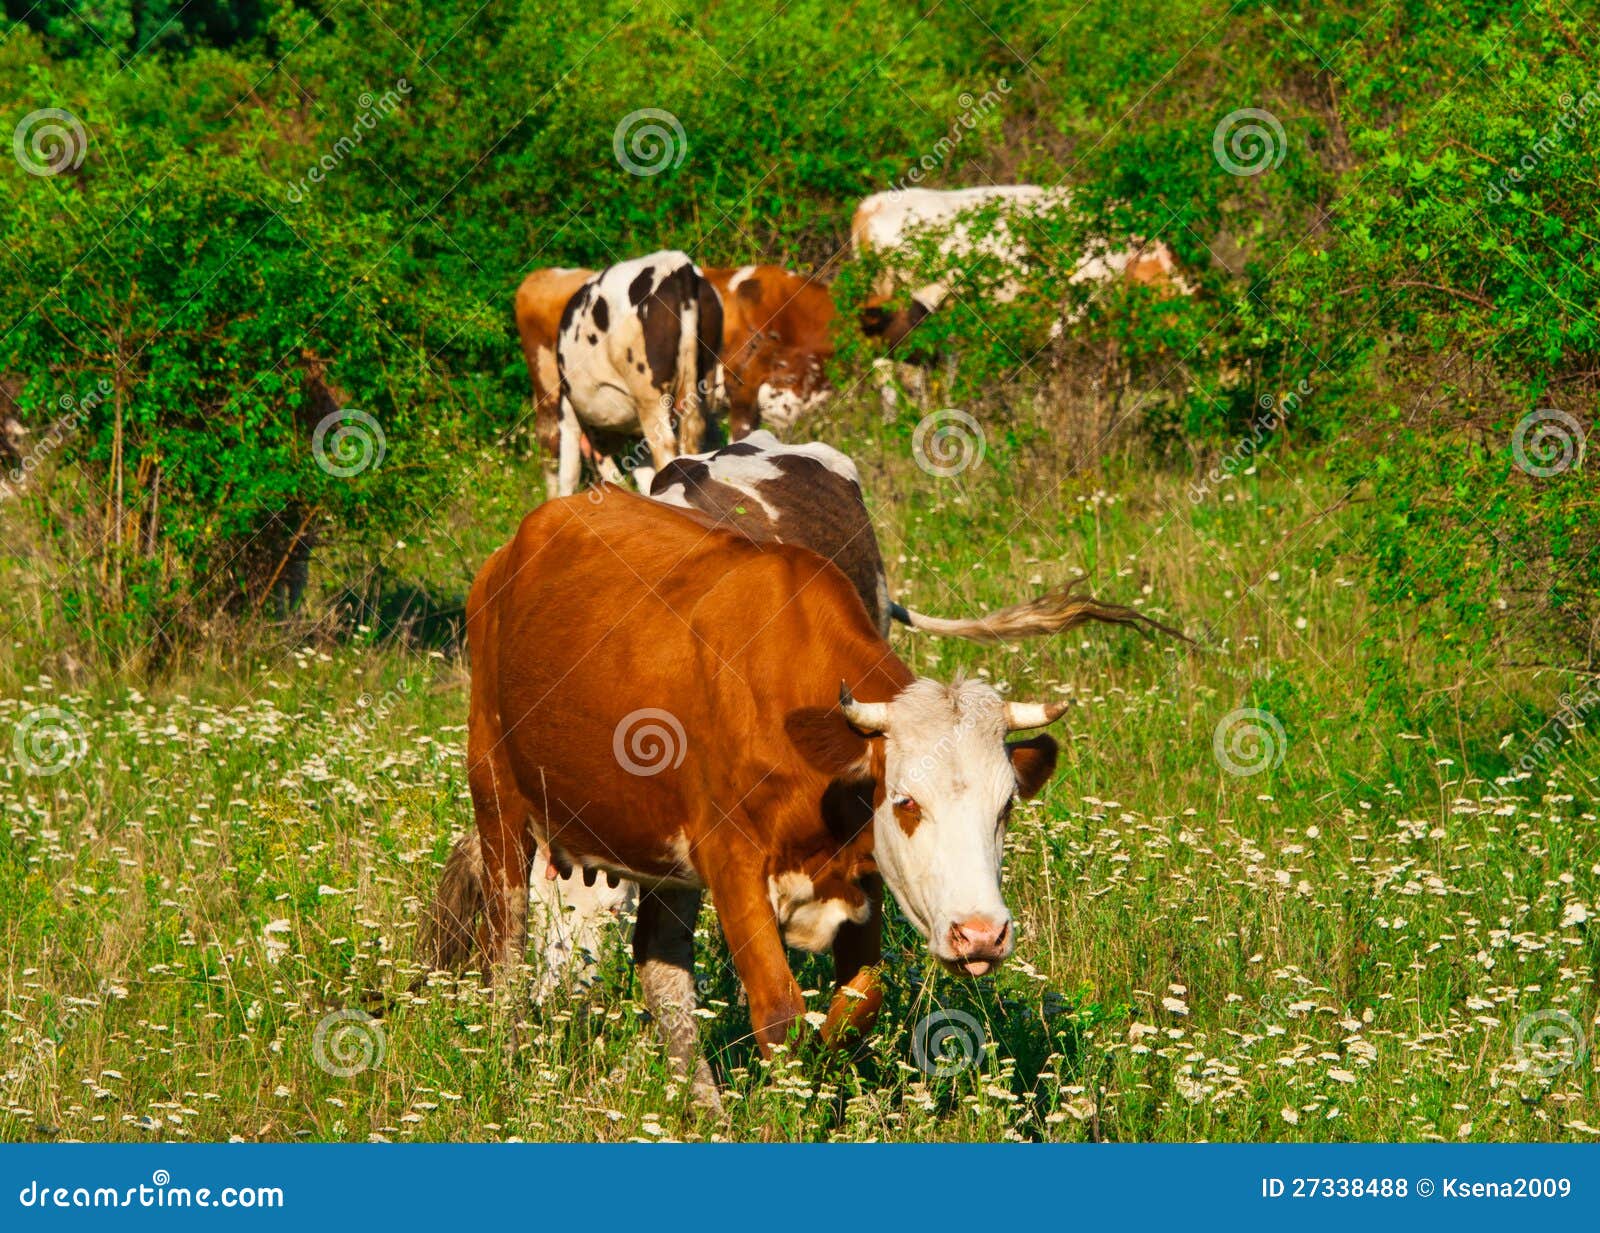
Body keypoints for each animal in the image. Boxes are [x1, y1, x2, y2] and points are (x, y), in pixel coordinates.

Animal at [426, 489, 1071, 1106]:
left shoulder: (861, 874)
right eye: (905, 802)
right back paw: (507, 1066)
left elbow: (860, 1002)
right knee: (506, 949)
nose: (981, 935)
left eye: (1005, 807)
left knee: (662, 975)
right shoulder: (732, 862)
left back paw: (705, 1109)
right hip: (496, 793)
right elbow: (779, 1011)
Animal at [550, 252, 723, 497]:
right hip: (704, 381)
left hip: (649, 395)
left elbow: (570, 475)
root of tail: (677, 264)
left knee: (665, 450)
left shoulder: (568, 408)